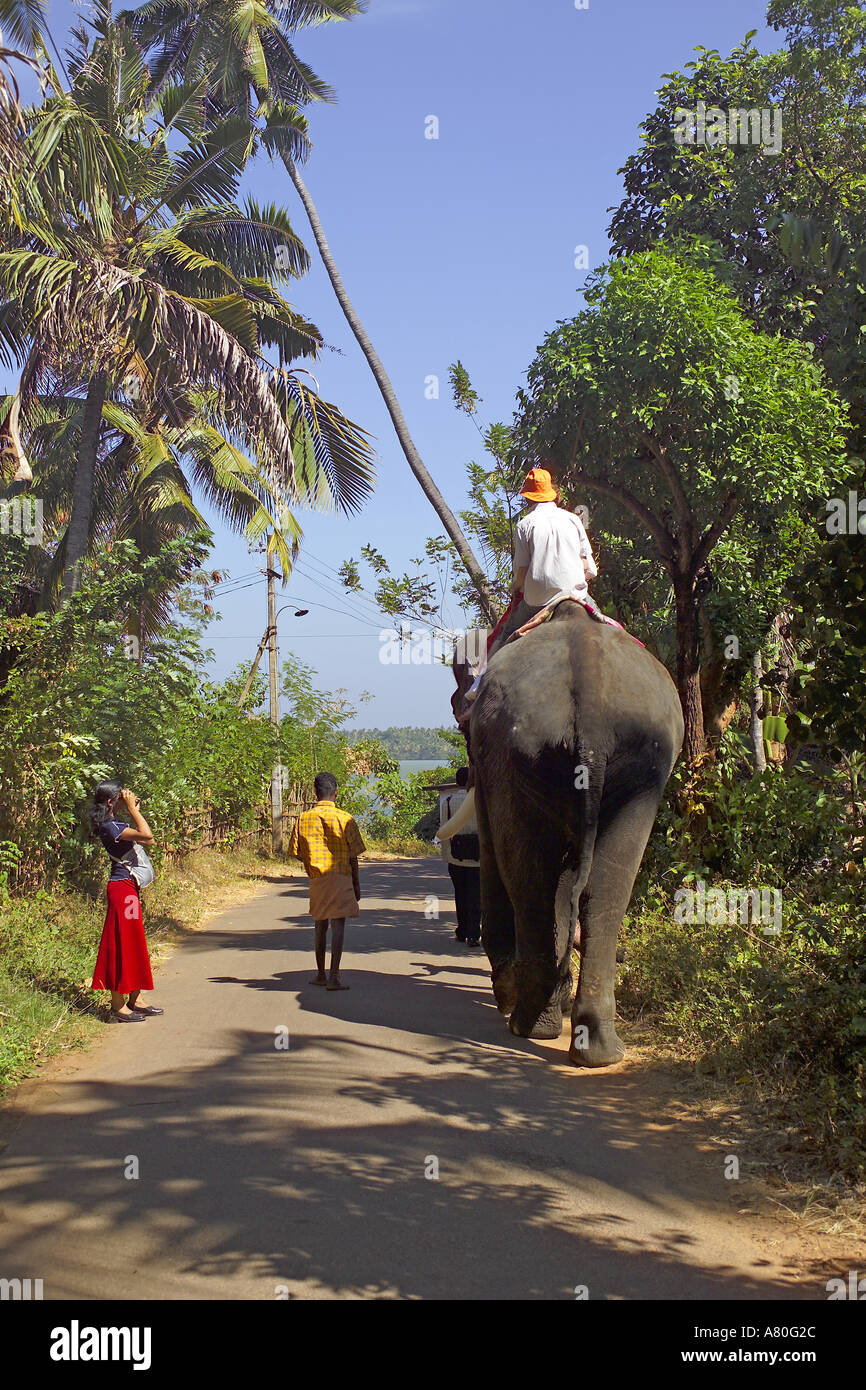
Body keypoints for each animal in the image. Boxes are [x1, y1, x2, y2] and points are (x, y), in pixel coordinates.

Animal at [454, 601, 683, 1067]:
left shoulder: (487, 770)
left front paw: (506, 994)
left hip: (524, 756)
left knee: (532, 882)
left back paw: (528, 1025)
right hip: (642, 760)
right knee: (603, 890)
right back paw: (595, 1047)